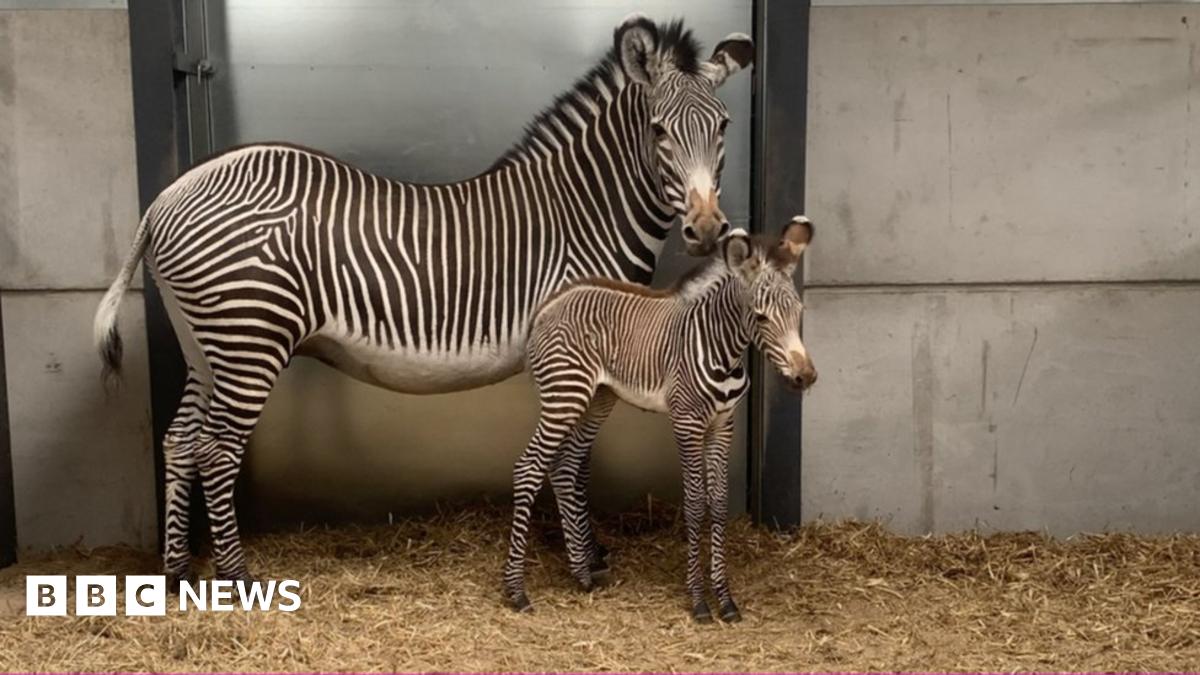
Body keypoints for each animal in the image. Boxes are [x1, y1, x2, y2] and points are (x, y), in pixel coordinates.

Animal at [91, 15, 753, 585]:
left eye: (723, 126)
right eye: (659, 130)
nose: (705, 230)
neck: (582, 211)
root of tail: (166, 196)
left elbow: (572, 459)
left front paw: (584, 554)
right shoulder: (585, 358)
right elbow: (572, 460)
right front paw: (583, 564)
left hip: (208, 347)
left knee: (180, 442)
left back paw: (179, 573)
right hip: (250, 338)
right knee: (216, 450)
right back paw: (237, 577)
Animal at [504, 216, 816, 623]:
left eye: (799, 311)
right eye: (761, 317)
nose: (805, 378)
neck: (723, 349)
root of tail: (548, 305)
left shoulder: (723, 425)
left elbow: (718, 504)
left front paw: (725, 599)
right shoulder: (687, 422)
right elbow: (696, 504)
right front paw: (699, 601)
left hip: (596, 398)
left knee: (564, 466)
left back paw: (582, 574)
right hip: (564, 396)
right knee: (529, 467)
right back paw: (516, 591)